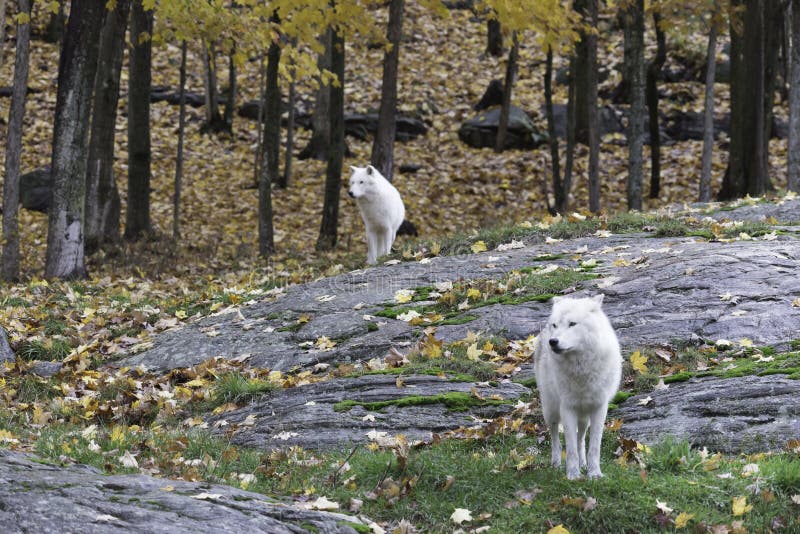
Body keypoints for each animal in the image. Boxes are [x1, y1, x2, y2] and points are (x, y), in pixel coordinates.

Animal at [534, 294, 622, 480]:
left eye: (572, 324)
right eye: (555, 325)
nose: (553, 342)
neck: (581, 368)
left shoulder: (599, 407)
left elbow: (593, 447)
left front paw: (594, 474)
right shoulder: (567, 407)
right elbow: (570, 447)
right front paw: (573, 475)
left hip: (584, 418)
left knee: (581, 438)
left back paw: (584, 464)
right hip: (551, 411)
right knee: (555, 438)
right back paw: (556, 464)